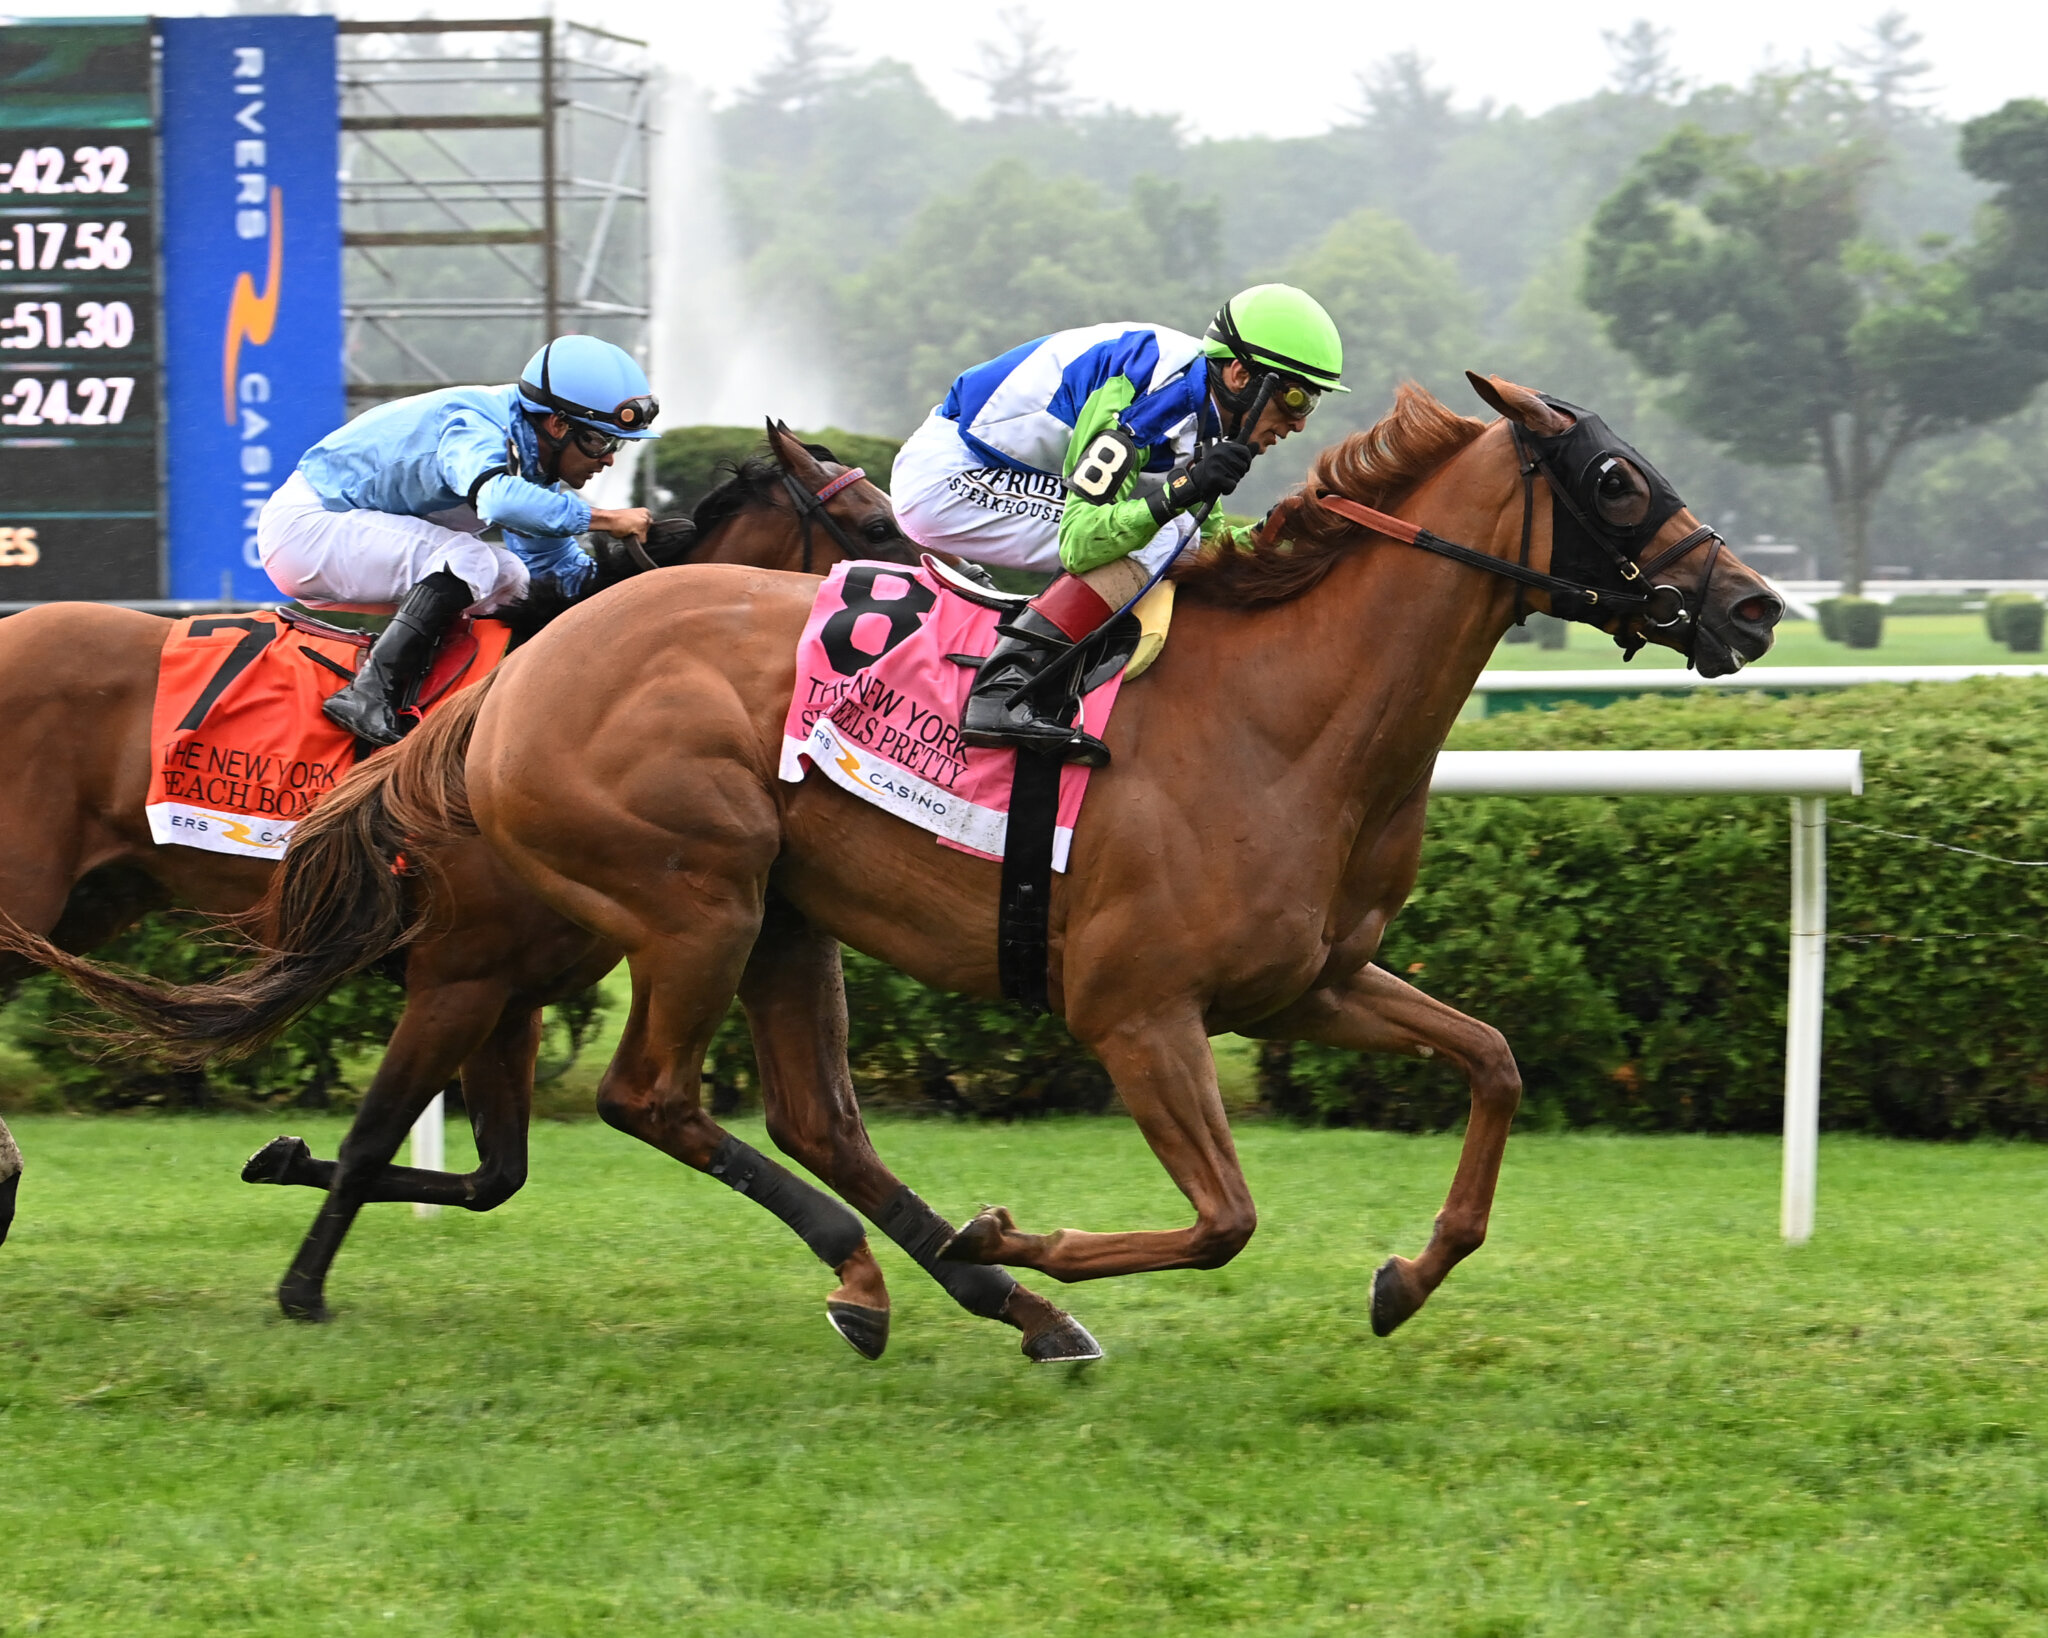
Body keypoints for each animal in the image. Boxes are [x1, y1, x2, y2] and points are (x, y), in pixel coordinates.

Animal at [20, 375, 1784, 1350]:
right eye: (1616, 479)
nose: (1755, 605)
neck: (1280, 715)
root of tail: (511, 687)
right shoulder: (1135, 1010)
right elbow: (1223, 1218)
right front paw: (1017, 1238)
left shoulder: (1318, 981)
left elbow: (1491, 1061)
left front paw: (1410, 1275)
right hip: (696, 895)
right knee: (658, 1097)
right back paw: (905, 1278)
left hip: (777, 916)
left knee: (809, 1118)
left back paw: (968, 1290)